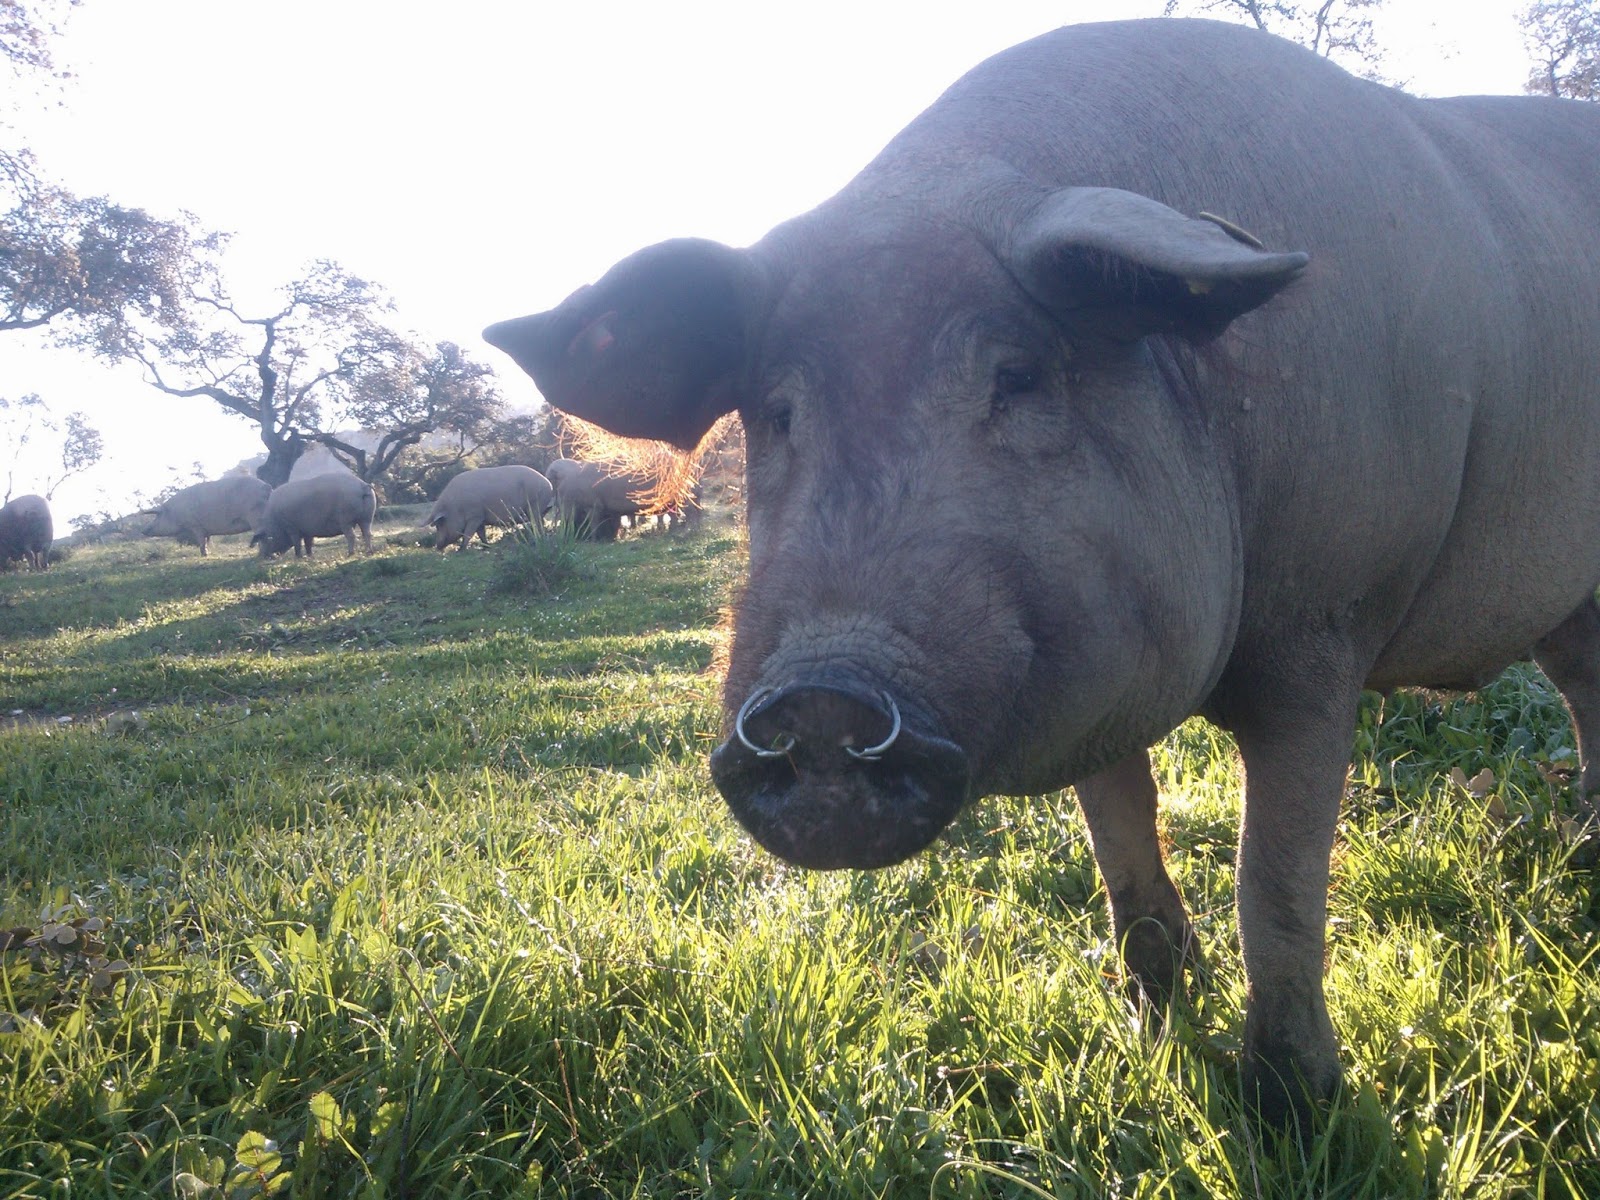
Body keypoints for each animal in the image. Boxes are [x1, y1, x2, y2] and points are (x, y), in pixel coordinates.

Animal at [142, 476, 273, 555]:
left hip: (255, 515)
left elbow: (201, 540)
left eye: (158, 516)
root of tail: (267, 487)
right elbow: (206, 539)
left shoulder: (195, 525)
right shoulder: (203, 528)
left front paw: (204, 554)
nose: (143, 530)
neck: (175, 513)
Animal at [425, 464, 554, 551]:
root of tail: (548, 484)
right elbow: (481, 533)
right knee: (541, 522)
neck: (455, 507)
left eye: (440, 524)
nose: (437, 547)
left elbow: (468, 533)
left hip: (534, 505)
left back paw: (537, 539)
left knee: (537, 523)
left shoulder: (475, 516)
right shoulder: (480, 518)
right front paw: (487, 547)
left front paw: (460, 550)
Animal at [483, 18, 1600, 1123]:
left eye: (1017, 375)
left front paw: (1297, 1108)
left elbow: (1274, 882)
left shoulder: (1322, 624)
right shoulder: (1084, 669)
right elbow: (1119, 844)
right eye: (775, 410)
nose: (823, 691)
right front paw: (1154, 1017)